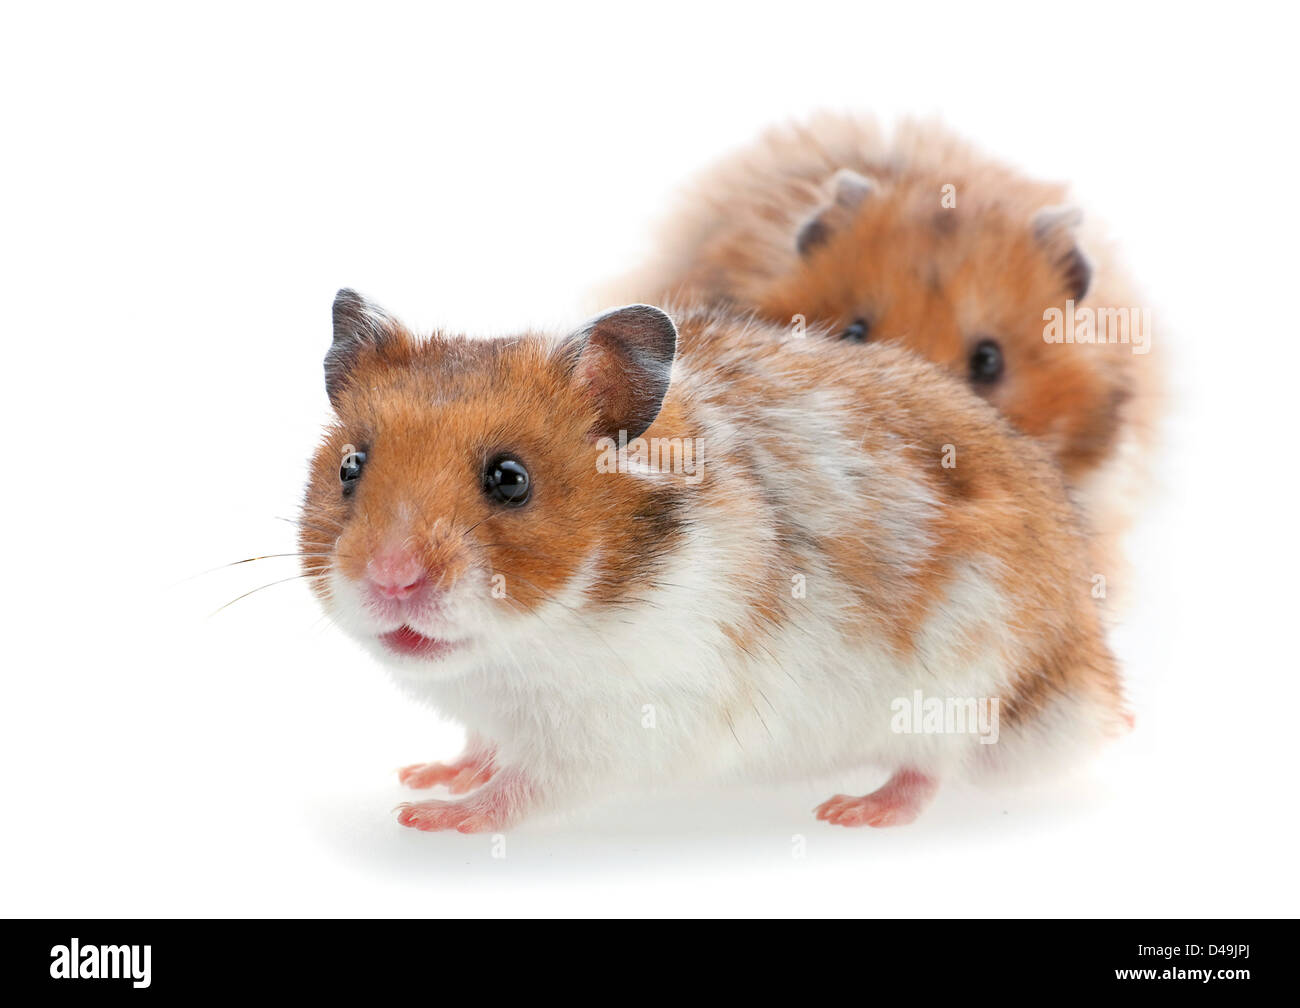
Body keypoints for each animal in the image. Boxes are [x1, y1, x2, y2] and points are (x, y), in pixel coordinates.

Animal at [300, 289, 1127, 833]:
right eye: (350, 467)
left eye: (510, 479)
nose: (389, 580)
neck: (532, 642)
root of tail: (1089, 669)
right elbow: (483, 742)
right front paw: (429, 776)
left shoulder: (627, 725)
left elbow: (529, 784)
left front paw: (429, 816)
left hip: (967, 674)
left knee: (936, 764)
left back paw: (855, 811)